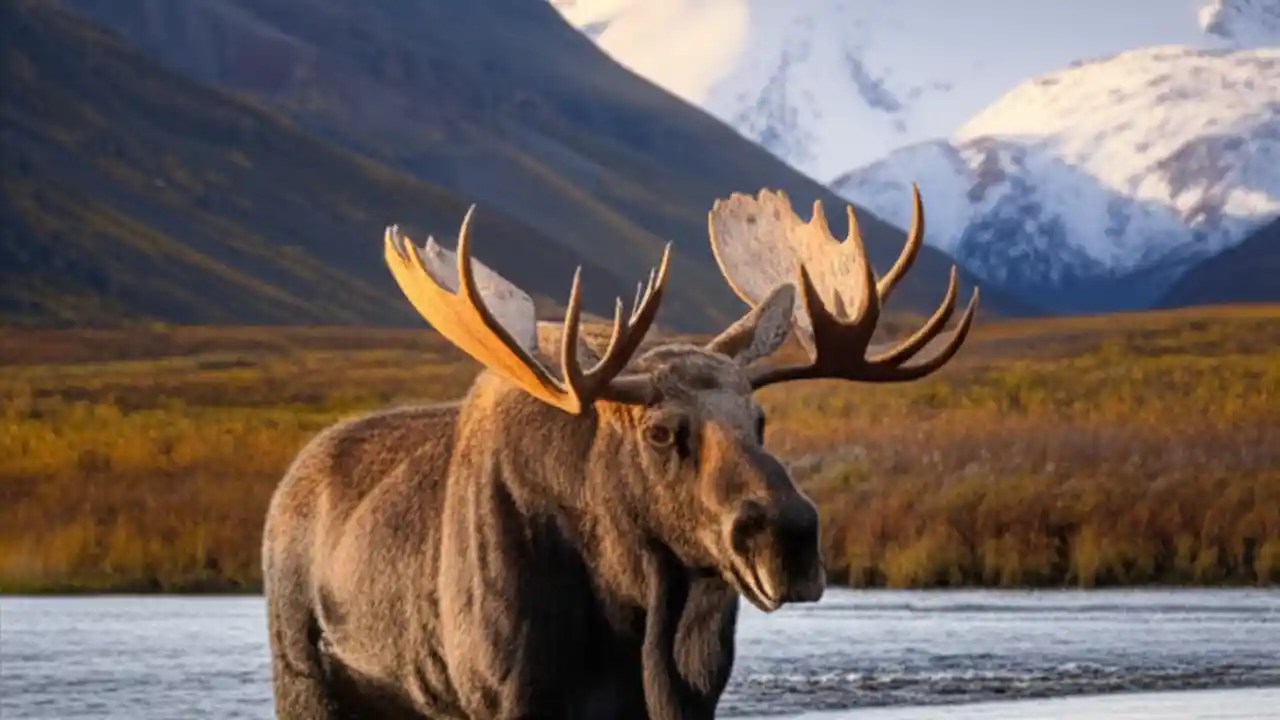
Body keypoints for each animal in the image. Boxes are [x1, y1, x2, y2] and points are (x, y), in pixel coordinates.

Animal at [262, 186, 978, 719]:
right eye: (659, 432)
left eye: (760, 417)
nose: (790, 535)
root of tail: (288, 486)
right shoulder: (506, 696)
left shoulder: (695, 696)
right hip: (302, 677)